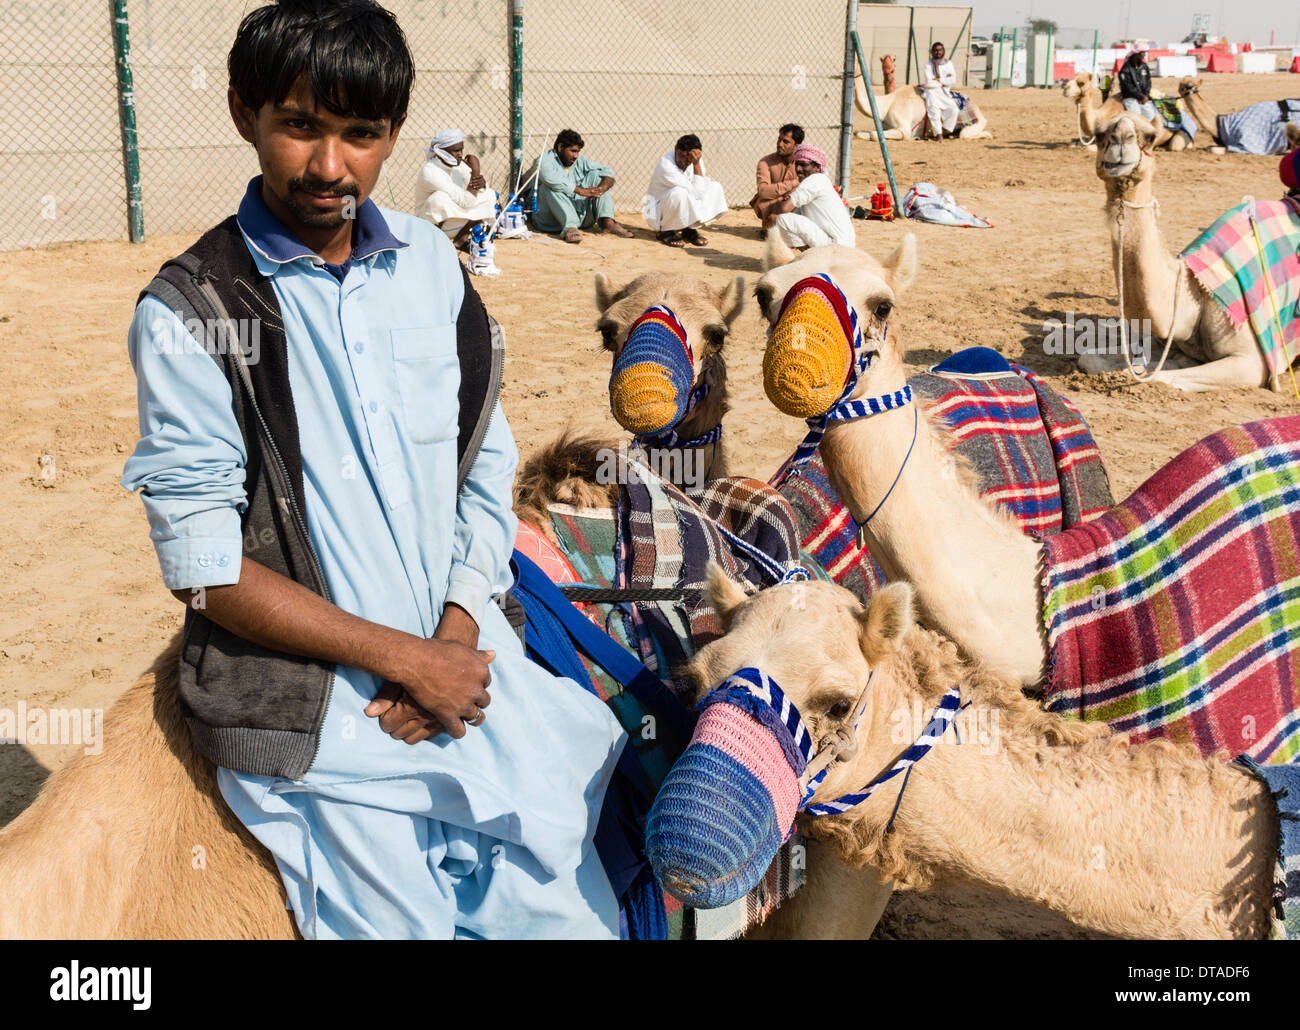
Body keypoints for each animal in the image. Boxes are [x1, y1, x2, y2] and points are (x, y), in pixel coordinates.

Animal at [853, 58, 991, 141]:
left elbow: (873, 135)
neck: (886, 105)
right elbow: (860, 133)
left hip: (977, 123)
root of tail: (978, 110)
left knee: (966, 134)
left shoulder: (905, 131)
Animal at [1079, 113, 1271, 391]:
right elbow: (1089, 358)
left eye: (1150, 137)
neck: (1196, 296)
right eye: (1099, 133)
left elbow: (1159, 377)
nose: (1122, 139)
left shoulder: (1251, 361)